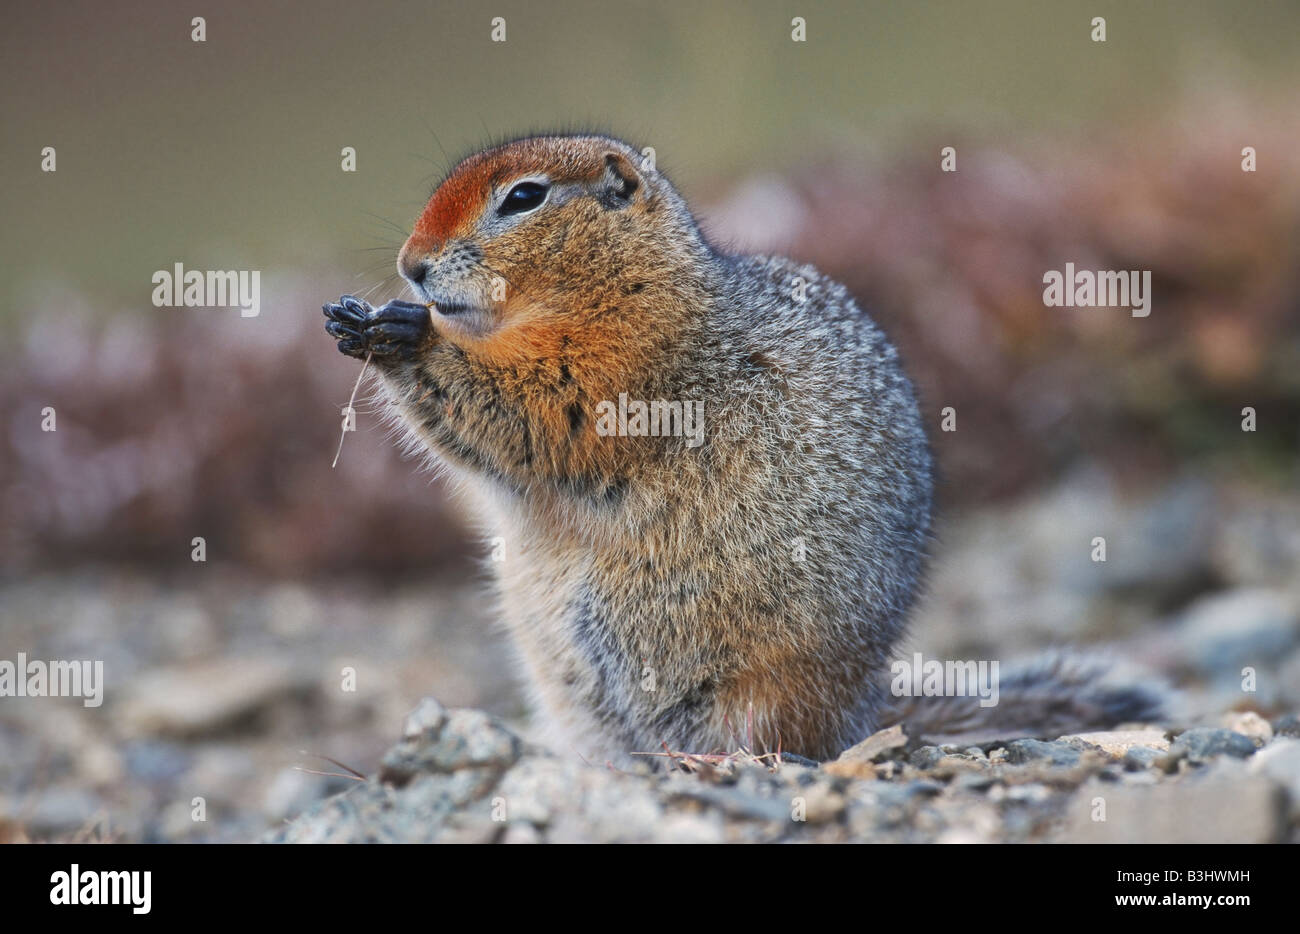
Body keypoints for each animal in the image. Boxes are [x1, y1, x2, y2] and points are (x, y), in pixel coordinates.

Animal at [324, 134, 1163, 763]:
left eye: (523, 197)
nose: (411, 264)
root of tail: (862, 715)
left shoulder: (621, 368)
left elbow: (534, 413)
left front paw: (405, 334)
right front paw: (356, 321)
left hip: (765, 688)